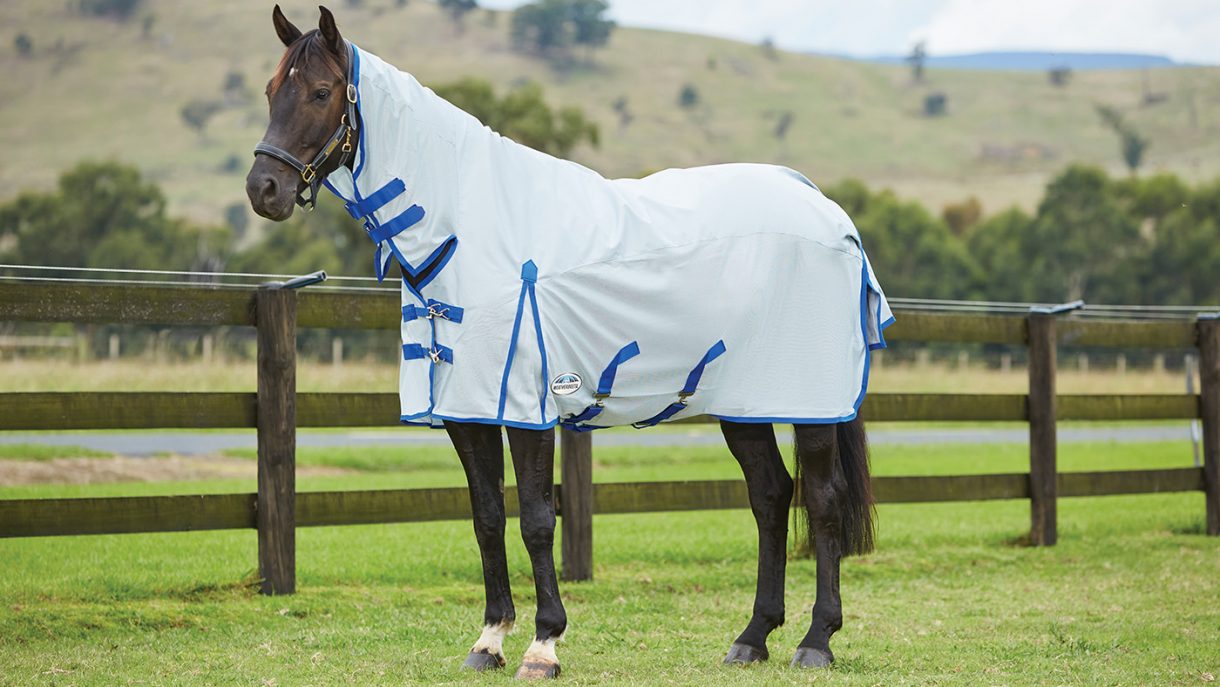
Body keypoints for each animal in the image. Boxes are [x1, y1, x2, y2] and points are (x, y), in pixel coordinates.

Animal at [246, 5, 891, 679]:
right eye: (270, 90)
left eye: (321, 92)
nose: (263, 189)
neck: (469, 234)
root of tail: (826, 210)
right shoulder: (468, 412)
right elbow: (486, 517)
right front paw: (489, 641)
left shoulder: (528, 411)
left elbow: (536, 520)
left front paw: (543, 646)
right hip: (745, 405)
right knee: (770, 495)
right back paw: (752, 637)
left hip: (809, 403)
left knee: (821, 500)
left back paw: (815, 641)